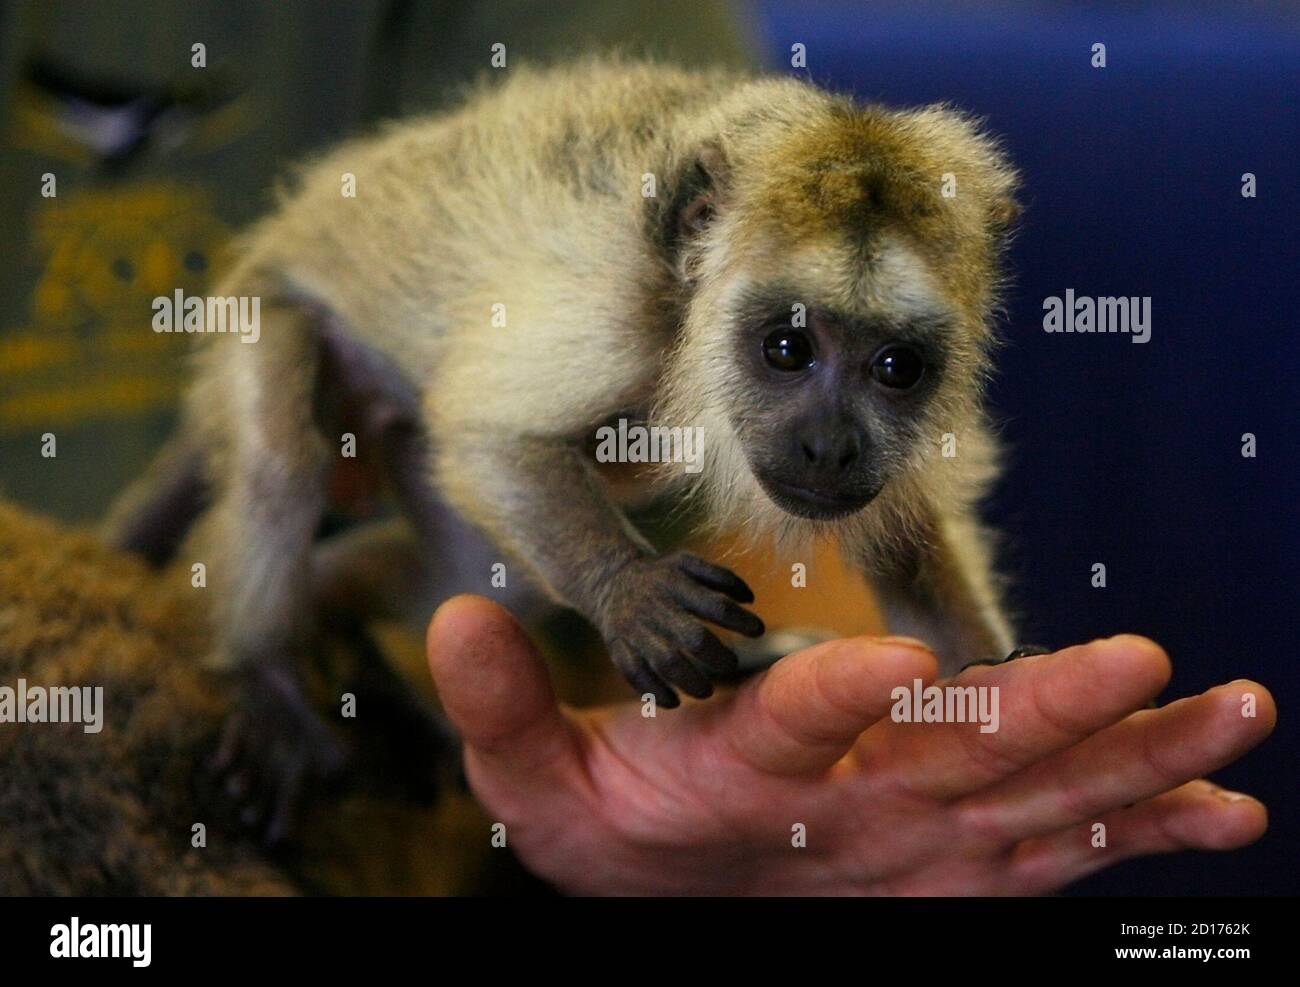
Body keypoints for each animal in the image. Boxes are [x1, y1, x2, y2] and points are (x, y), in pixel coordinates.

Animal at [106, 57, 1030, 839]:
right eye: (787, 349)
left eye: (897, 368)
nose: (831, 446)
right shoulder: (611, 304)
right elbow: (487, 431)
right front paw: (629, 593)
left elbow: (910, 520)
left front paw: (982, 665)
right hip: (264, 307)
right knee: (284, 468)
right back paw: (263, 674)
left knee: (478, 577)